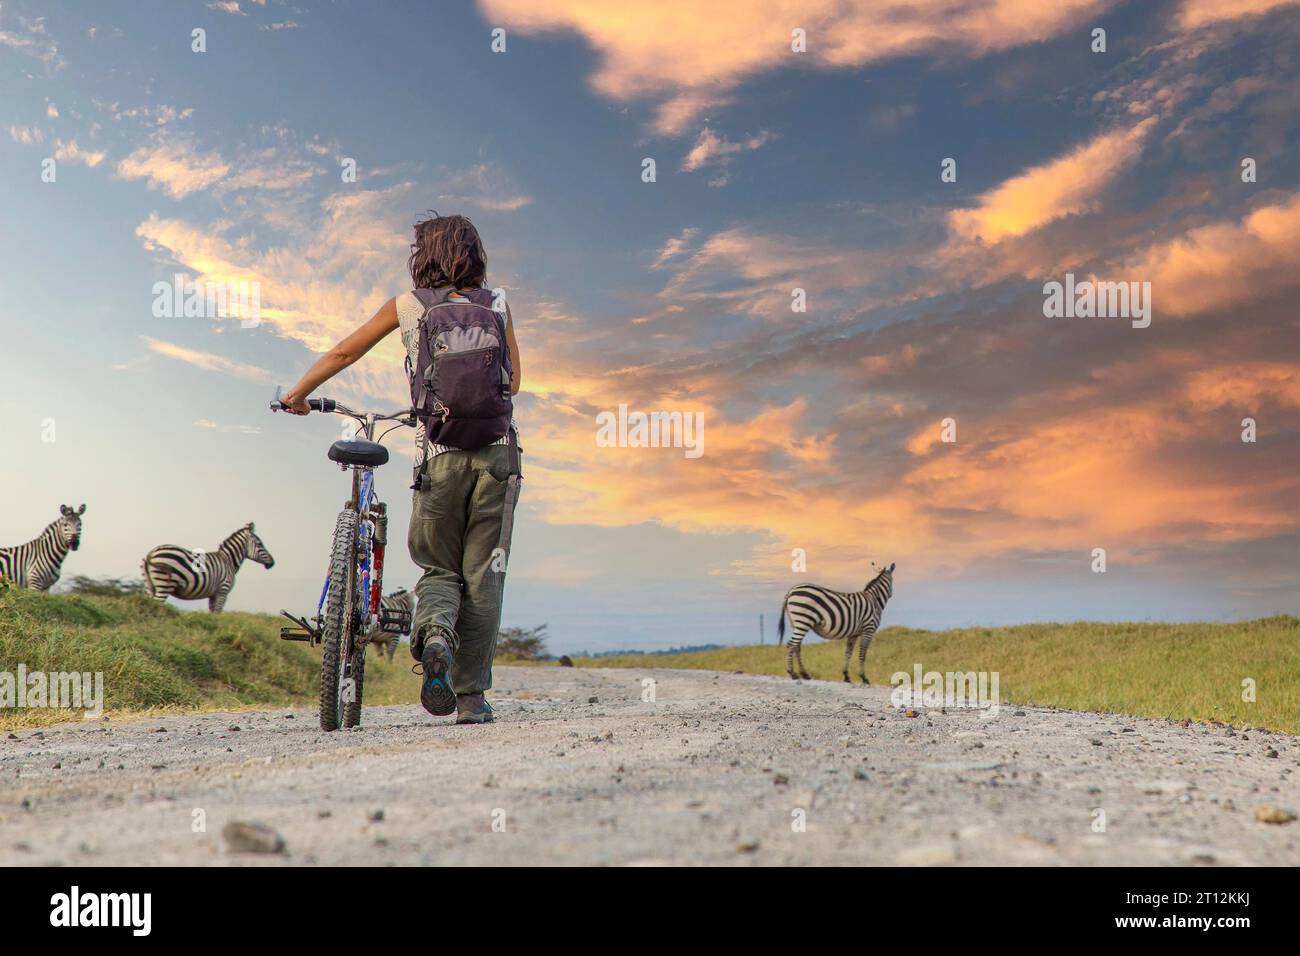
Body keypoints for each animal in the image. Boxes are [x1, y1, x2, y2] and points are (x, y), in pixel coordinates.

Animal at [141, 523, 275, 613]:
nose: (272, 562)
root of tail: (151, 553)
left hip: (150, 585)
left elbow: (211, 614)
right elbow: (217, 615)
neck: (228, 561)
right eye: (260, 544)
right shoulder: (222, 591)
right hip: (164, 584)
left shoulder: (213, 595)